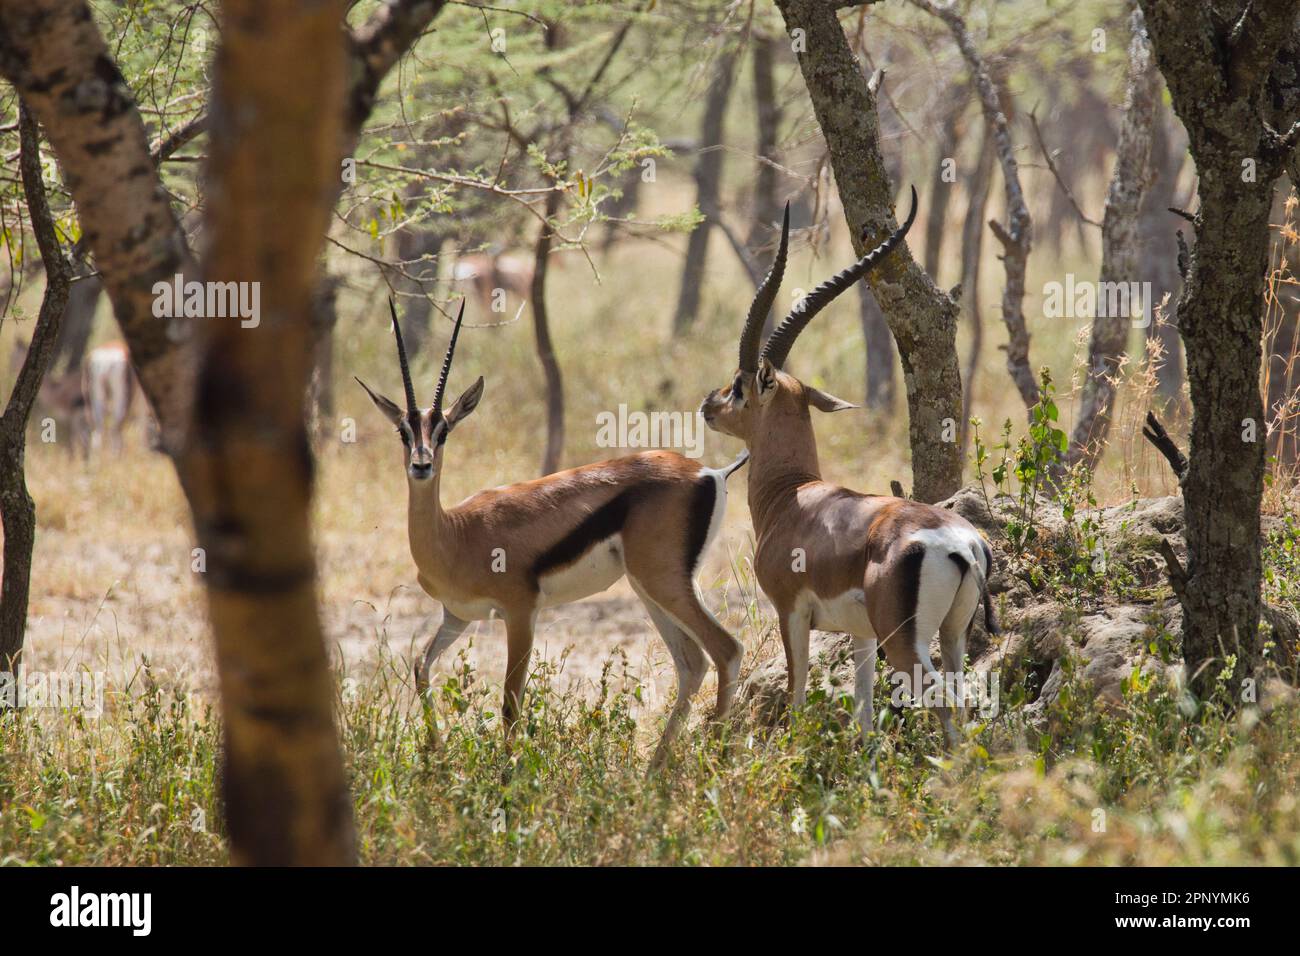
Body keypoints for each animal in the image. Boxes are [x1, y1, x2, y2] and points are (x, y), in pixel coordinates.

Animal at [356, 299, 747, 766]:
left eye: (444, 431)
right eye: (403, 431)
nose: (421, 465)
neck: (455, 535)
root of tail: (710, 472)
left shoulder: (521, 612)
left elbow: (510, 703)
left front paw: (510, 775)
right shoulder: (457, 616)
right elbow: (420, 667)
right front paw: (436, 753)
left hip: (663, 584)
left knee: (725, 650)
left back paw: (716, 759)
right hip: (651, 587)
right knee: (692, 663)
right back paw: (654, 770)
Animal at [698, 189, 996, 749]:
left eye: (740, 385)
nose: (708, 405)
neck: (793, 496)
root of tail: (962, 543)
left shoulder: (790, 612)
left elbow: (795, 696)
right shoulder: (860, 635)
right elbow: (864, 714)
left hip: (905, 643)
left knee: (945, 703)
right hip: (954, 634)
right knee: (965, 702)